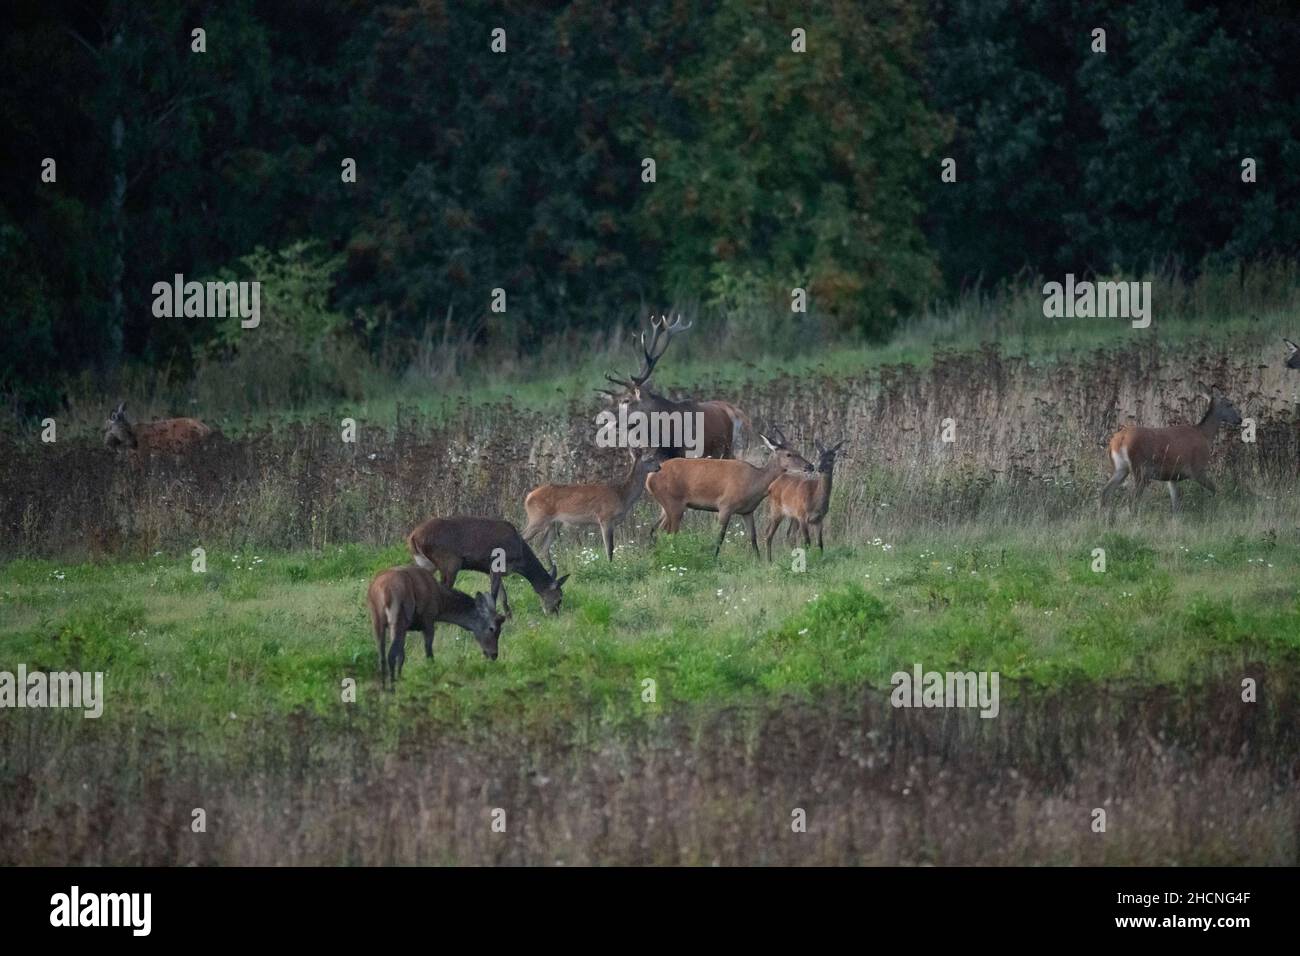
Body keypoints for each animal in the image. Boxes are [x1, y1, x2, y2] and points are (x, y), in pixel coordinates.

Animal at [367, 565, 505, 688]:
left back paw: (384, 687)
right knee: (390, 655)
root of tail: (382, 590)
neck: (440, 603)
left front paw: (401, 679)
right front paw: (431, 676)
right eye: (492, 628)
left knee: (381, 656)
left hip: (377, 620)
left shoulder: (407, 628)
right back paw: (392, 689)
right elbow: (429, 654)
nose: (494, 654)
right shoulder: (428, 619)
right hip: (397, 618)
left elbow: (402, 656)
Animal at [407, 516, 569, 618]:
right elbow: (494, 595)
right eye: (559, 597)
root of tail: (413, 537)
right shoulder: (495, 564)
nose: (555, 614)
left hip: (425, 563)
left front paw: (510, 618)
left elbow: (504, 597)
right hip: (450, 562)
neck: (520, 558)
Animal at [522, 449, 663, 561]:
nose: (659, 467)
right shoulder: (605, 518)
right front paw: (610, 565)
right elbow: (609, 548)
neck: (621, 495)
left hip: (554, 524)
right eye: (650, 458)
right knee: (525, 538)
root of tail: (528, 497)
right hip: (537, 518)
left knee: (543, 549)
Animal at [646, 426, 814, 558]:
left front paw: (758, 560)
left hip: (665, 506)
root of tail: (649, 478)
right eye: (789, 454)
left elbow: (753, 537)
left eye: (798, 450)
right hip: (674, 503)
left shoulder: (747, 511)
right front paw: (714, 559)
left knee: (655, 530)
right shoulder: (725, 505)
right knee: (669, 532)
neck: (755, 484)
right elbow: (719, 537)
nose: (810, 466)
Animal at [1101, 384, 1243, 515]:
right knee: (1131, 498)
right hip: (1141, 468)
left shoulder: (1172, 476)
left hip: (1121, 468)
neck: (1204, 435)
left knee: (1105, 491)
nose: (1240, 419)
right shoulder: (1197, 469)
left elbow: (1176, 506)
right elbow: (1214, 489)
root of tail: (1117, 441)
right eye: (1230, 404)